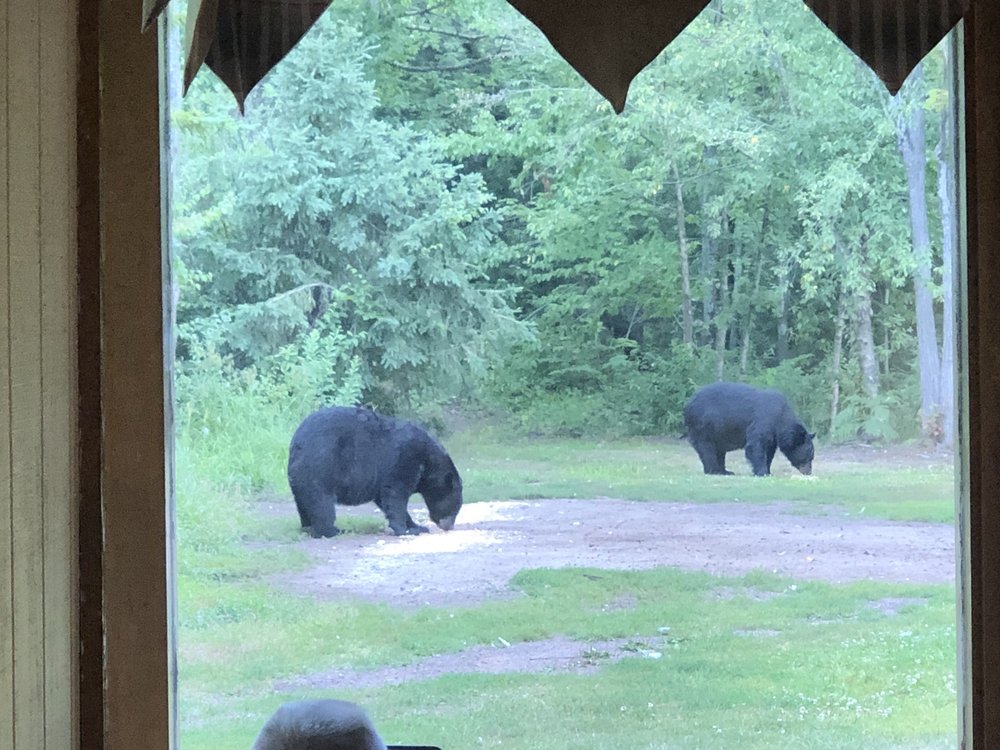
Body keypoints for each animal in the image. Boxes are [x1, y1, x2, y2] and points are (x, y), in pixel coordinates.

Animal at [287, 406, 462, 538]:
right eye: (455, 507)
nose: (449, 526)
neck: (428, 461)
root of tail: (296, 445)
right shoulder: (405, 457)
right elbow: (396, 494)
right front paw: (405, 529)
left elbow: (384, 498)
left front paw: (417, 526)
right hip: (320, 467)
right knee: (322, 504)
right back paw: (333, 530)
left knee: (304, 504)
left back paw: (308, 527)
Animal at [682, 381, 815, 477]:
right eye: (809, 455)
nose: (809, 472)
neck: (780, 419)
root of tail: (688, 404)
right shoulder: (763, 420)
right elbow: (755, 445)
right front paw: (762, 472)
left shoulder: (772, 436)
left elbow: (769, 451)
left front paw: (768, 470)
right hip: (704, 426)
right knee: (707, 448)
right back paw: (714, 470)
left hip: (718, 432)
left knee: (719, 450)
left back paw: (725, 471)